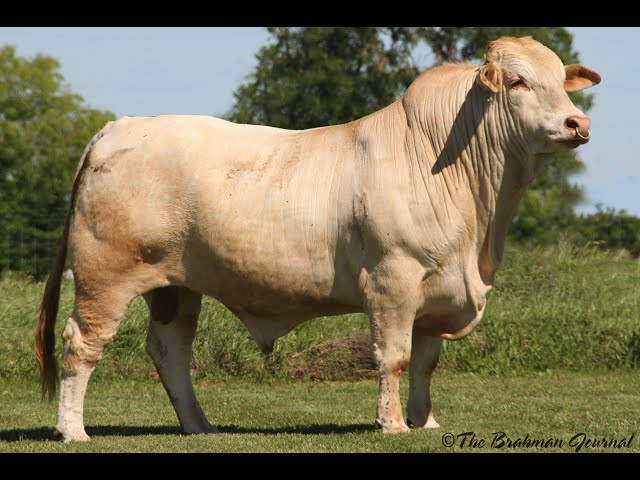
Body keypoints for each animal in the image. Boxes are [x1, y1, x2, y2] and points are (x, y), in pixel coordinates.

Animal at [35, 36, 600, 441]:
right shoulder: (393, 281)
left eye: (561, 82)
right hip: (104, 276)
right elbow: (393, 356)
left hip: (177, 285)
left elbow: (425, 361)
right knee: (81, 344)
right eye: (519, 82)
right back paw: (73, 430)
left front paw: (426, 421)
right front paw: (393, 425)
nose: (578, 122)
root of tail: (118, 127)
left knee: (170, 350)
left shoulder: (439, 290)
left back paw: (199, 426)